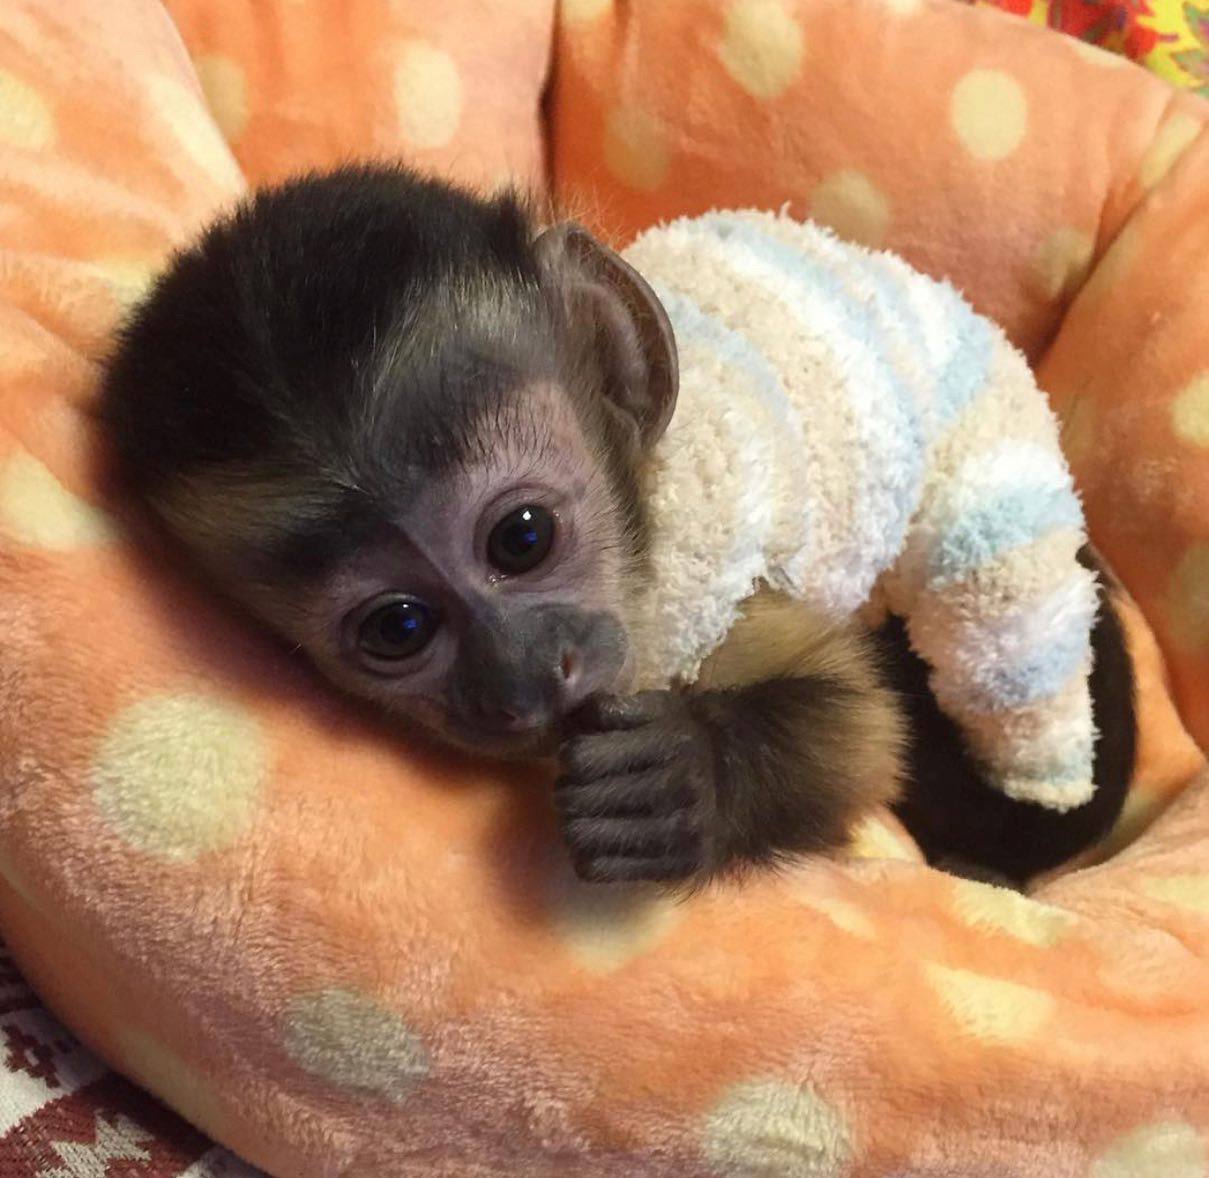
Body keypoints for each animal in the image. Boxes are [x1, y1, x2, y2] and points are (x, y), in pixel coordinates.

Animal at [96, 163, 1136, 889]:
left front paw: (685, 782)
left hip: (992, 495)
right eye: (398, 627)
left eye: (521, 539)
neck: (642, 495)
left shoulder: (708, 599)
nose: (519, 680)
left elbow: (860, 723)